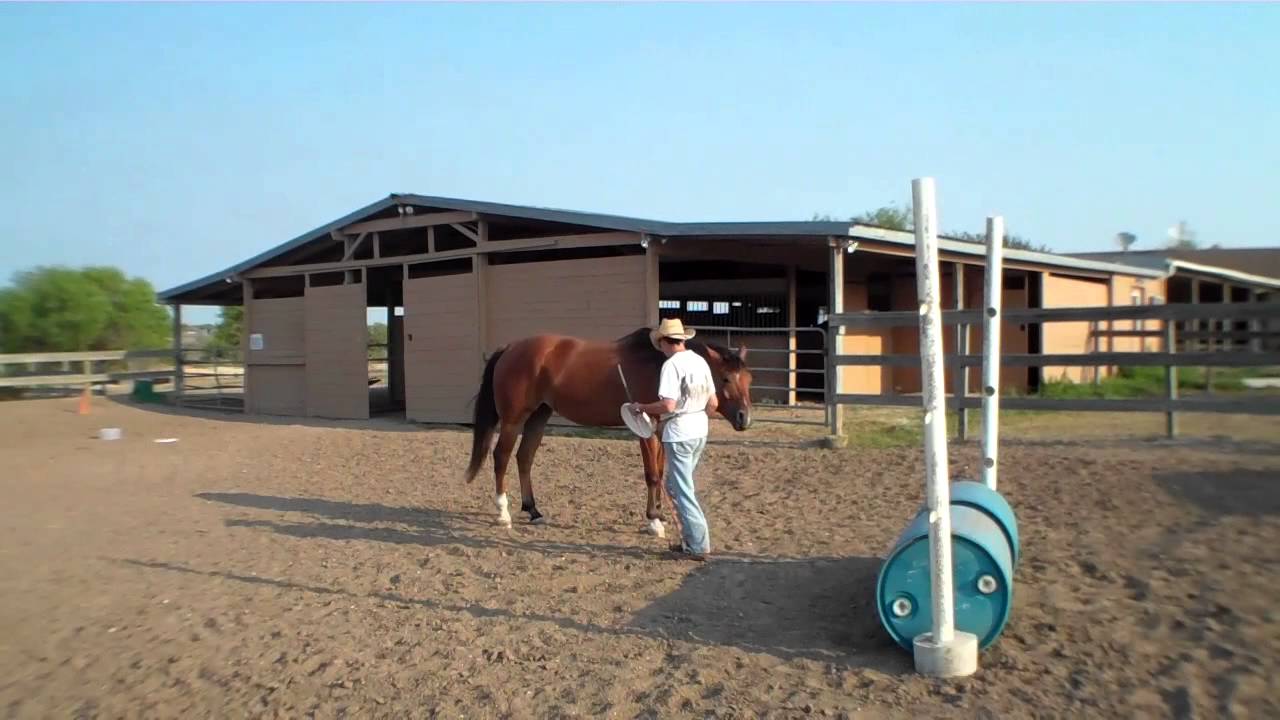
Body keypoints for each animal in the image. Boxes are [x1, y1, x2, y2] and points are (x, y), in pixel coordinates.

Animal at [462, 327, 754, 531]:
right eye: (726, 378)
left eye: (749, 378)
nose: (745, 419)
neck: (659, 364)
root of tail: (510, 348)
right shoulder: (645, 429)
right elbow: (651, 474)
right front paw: (653, 521)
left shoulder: (660, 429)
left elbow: (660, 471)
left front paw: (660, 515)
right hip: (513, 419)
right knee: (501, 457)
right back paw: (503, 514)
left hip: (538, 416)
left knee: (524, 458)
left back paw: (533, 511)